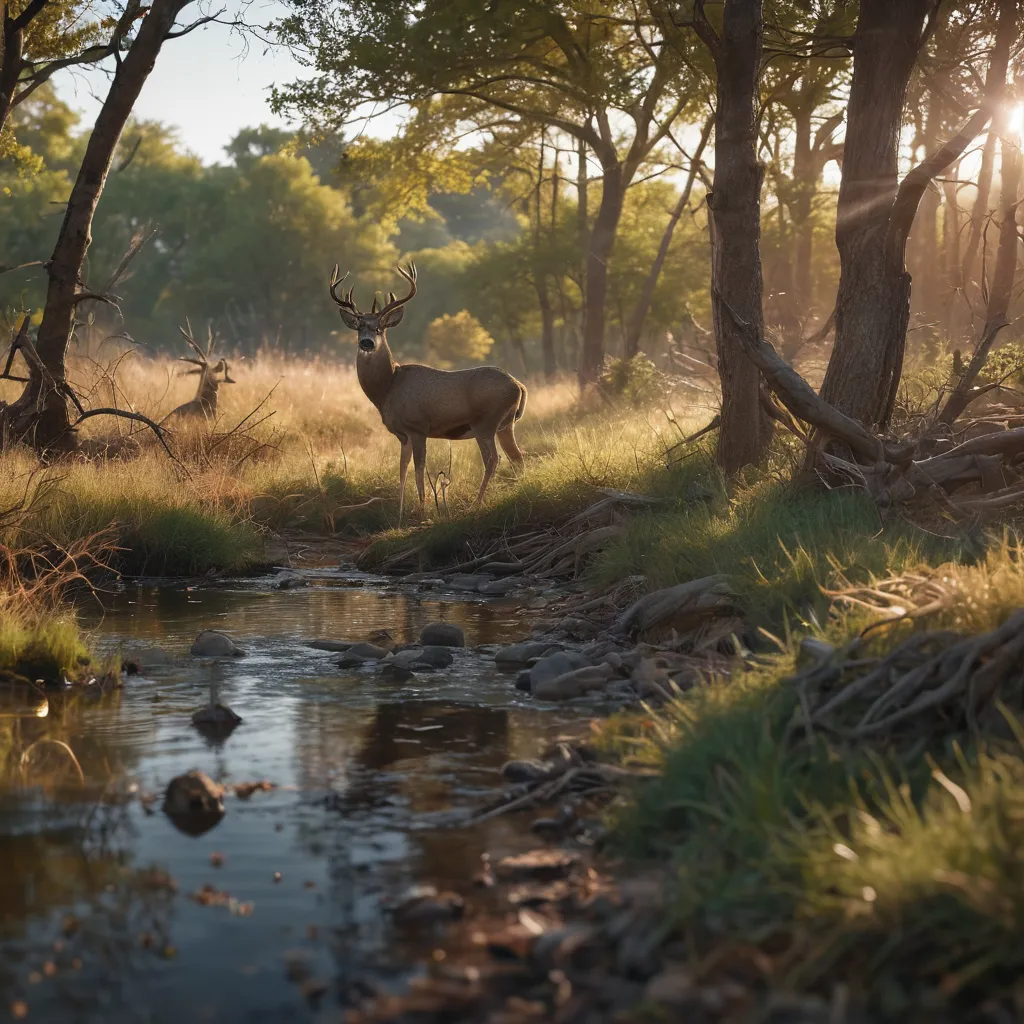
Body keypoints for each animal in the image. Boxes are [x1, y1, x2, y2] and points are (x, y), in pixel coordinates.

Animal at [330, 262, 528, 521]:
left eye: (380, 328)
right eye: (359, 328)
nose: (367, 342)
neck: (388, 388)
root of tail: (519, 385)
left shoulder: (418, 427)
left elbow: (418, 469)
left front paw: (422, 508)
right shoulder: (402, 434)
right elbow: (402, 469)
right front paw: (401, 510)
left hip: (485, 422)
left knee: (494, 459)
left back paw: (476, 504)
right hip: (506, 425)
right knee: (518, 457)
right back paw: (520, 492)